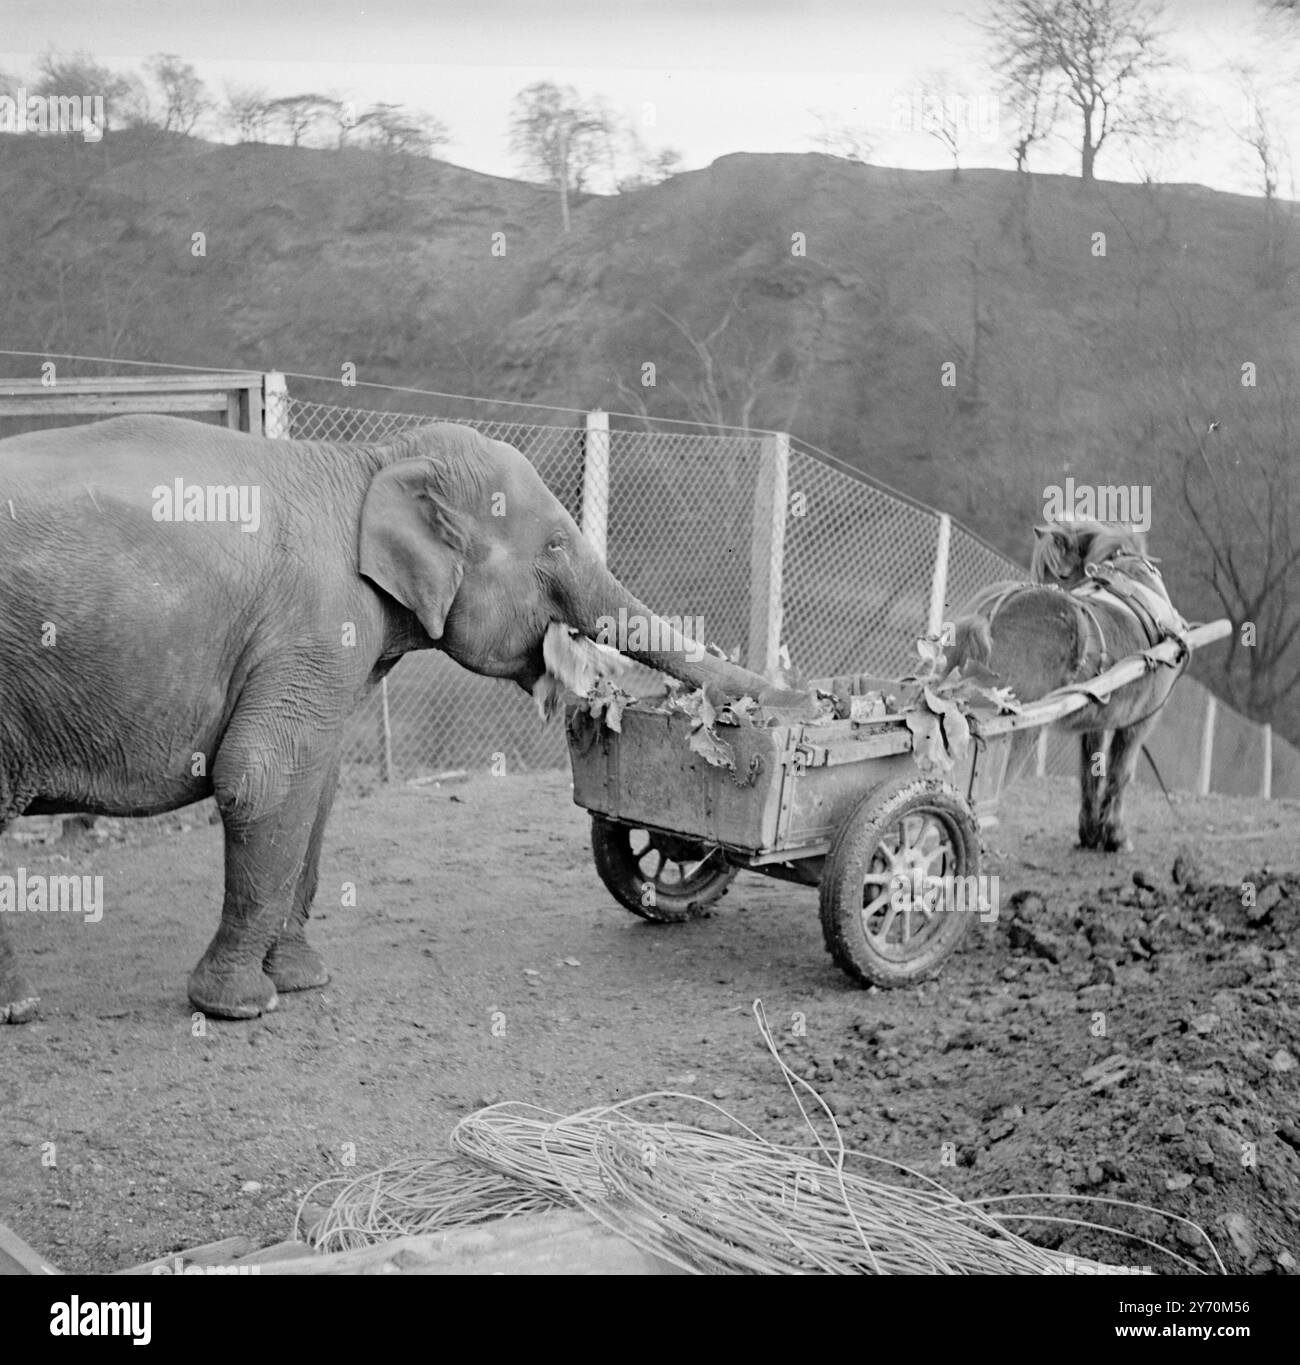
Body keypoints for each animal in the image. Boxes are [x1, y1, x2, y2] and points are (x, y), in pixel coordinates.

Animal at [0, 414, 802, 1022]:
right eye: (553, 545)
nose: (809, 705)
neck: (374, 463)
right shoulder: (315, 620)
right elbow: (263, 777)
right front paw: (241, 1008)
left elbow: (315, 790)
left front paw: (303, 980)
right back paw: (20, 1009)